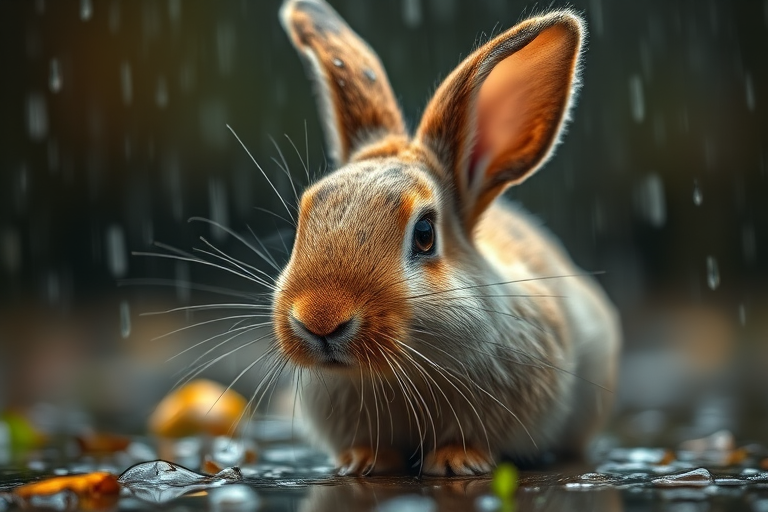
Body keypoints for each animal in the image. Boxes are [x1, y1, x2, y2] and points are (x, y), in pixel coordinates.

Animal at [272, 0, 621, 476]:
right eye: (305, 216)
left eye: (424, 234)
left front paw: (457, 461)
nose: (320, 320)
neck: (404, 366)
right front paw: (363, 461)